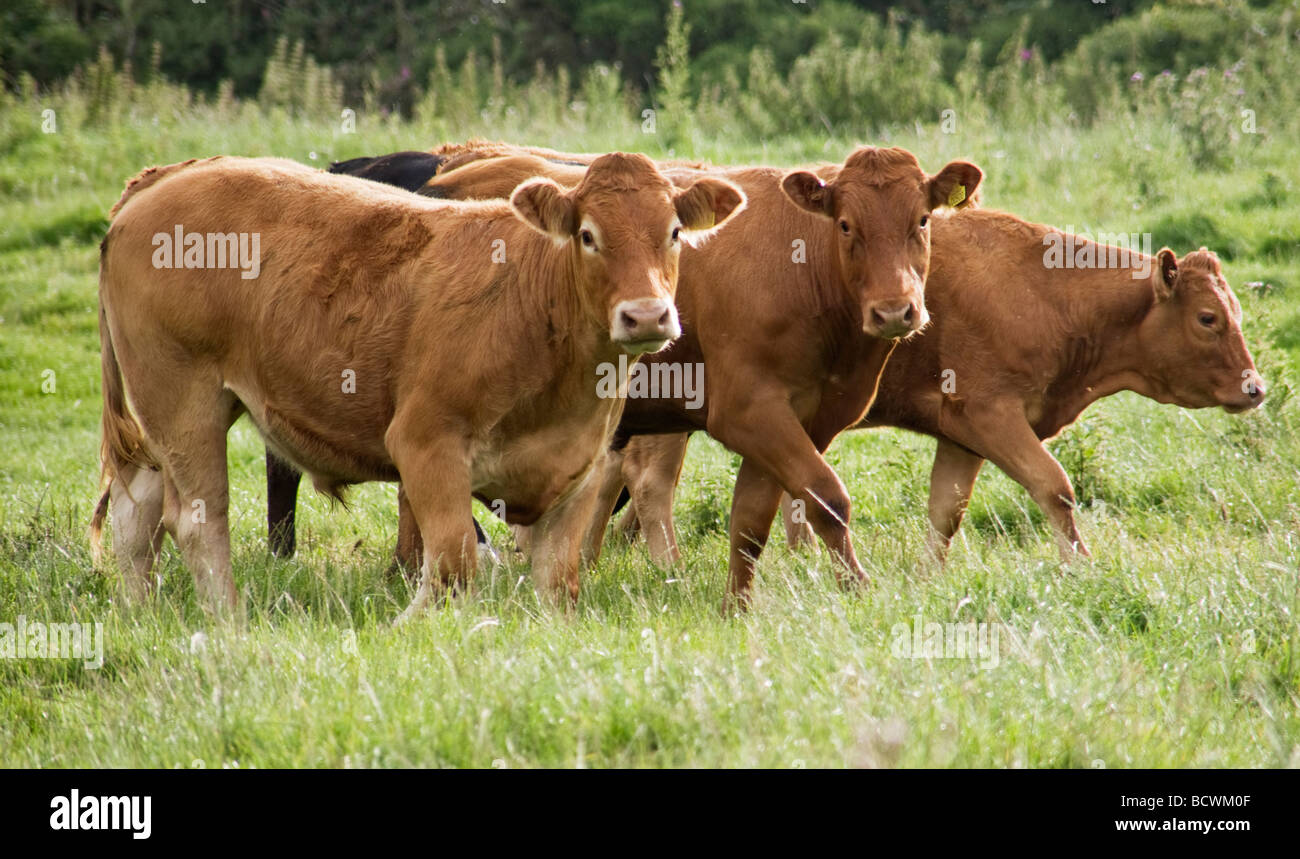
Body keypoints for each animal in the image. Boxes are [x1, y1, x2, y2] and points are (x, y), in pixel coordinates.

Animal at [90, 153, 745, 619]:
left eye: (675, 232)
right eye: (588, 235)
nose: (647, 316)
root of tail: (165, 178)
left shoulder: (580, 466)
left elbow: (558, 582)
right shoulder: (426, 444)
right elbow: (452, 566)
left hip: (160, 416)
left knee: (136, 517)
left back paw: (143, 613)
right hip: (182, 397)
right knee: (198, 522)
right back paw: (229, 625)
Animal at [269, 142, 985, 609]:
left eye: (923, 221)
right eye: (846, 224)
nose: (896, 310)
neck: (799, 267)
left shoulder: (795, 419)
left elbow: (753, 519)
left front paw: (736, 608)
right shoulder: (749, 409)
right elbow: (828, 497)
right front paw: (860, 592)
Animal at [609, 208, 1266, 565]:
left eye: (1235, 310)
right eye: (1208, 318)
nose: (1255, 388)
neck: (1043, 289)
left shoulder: (963, 435)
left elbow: (946, 511)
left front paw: (929, 575)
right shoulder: (994, 414)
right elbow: (1055, 487)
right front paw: (1083, 565)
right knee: (650, 486)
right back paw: (669, 569)